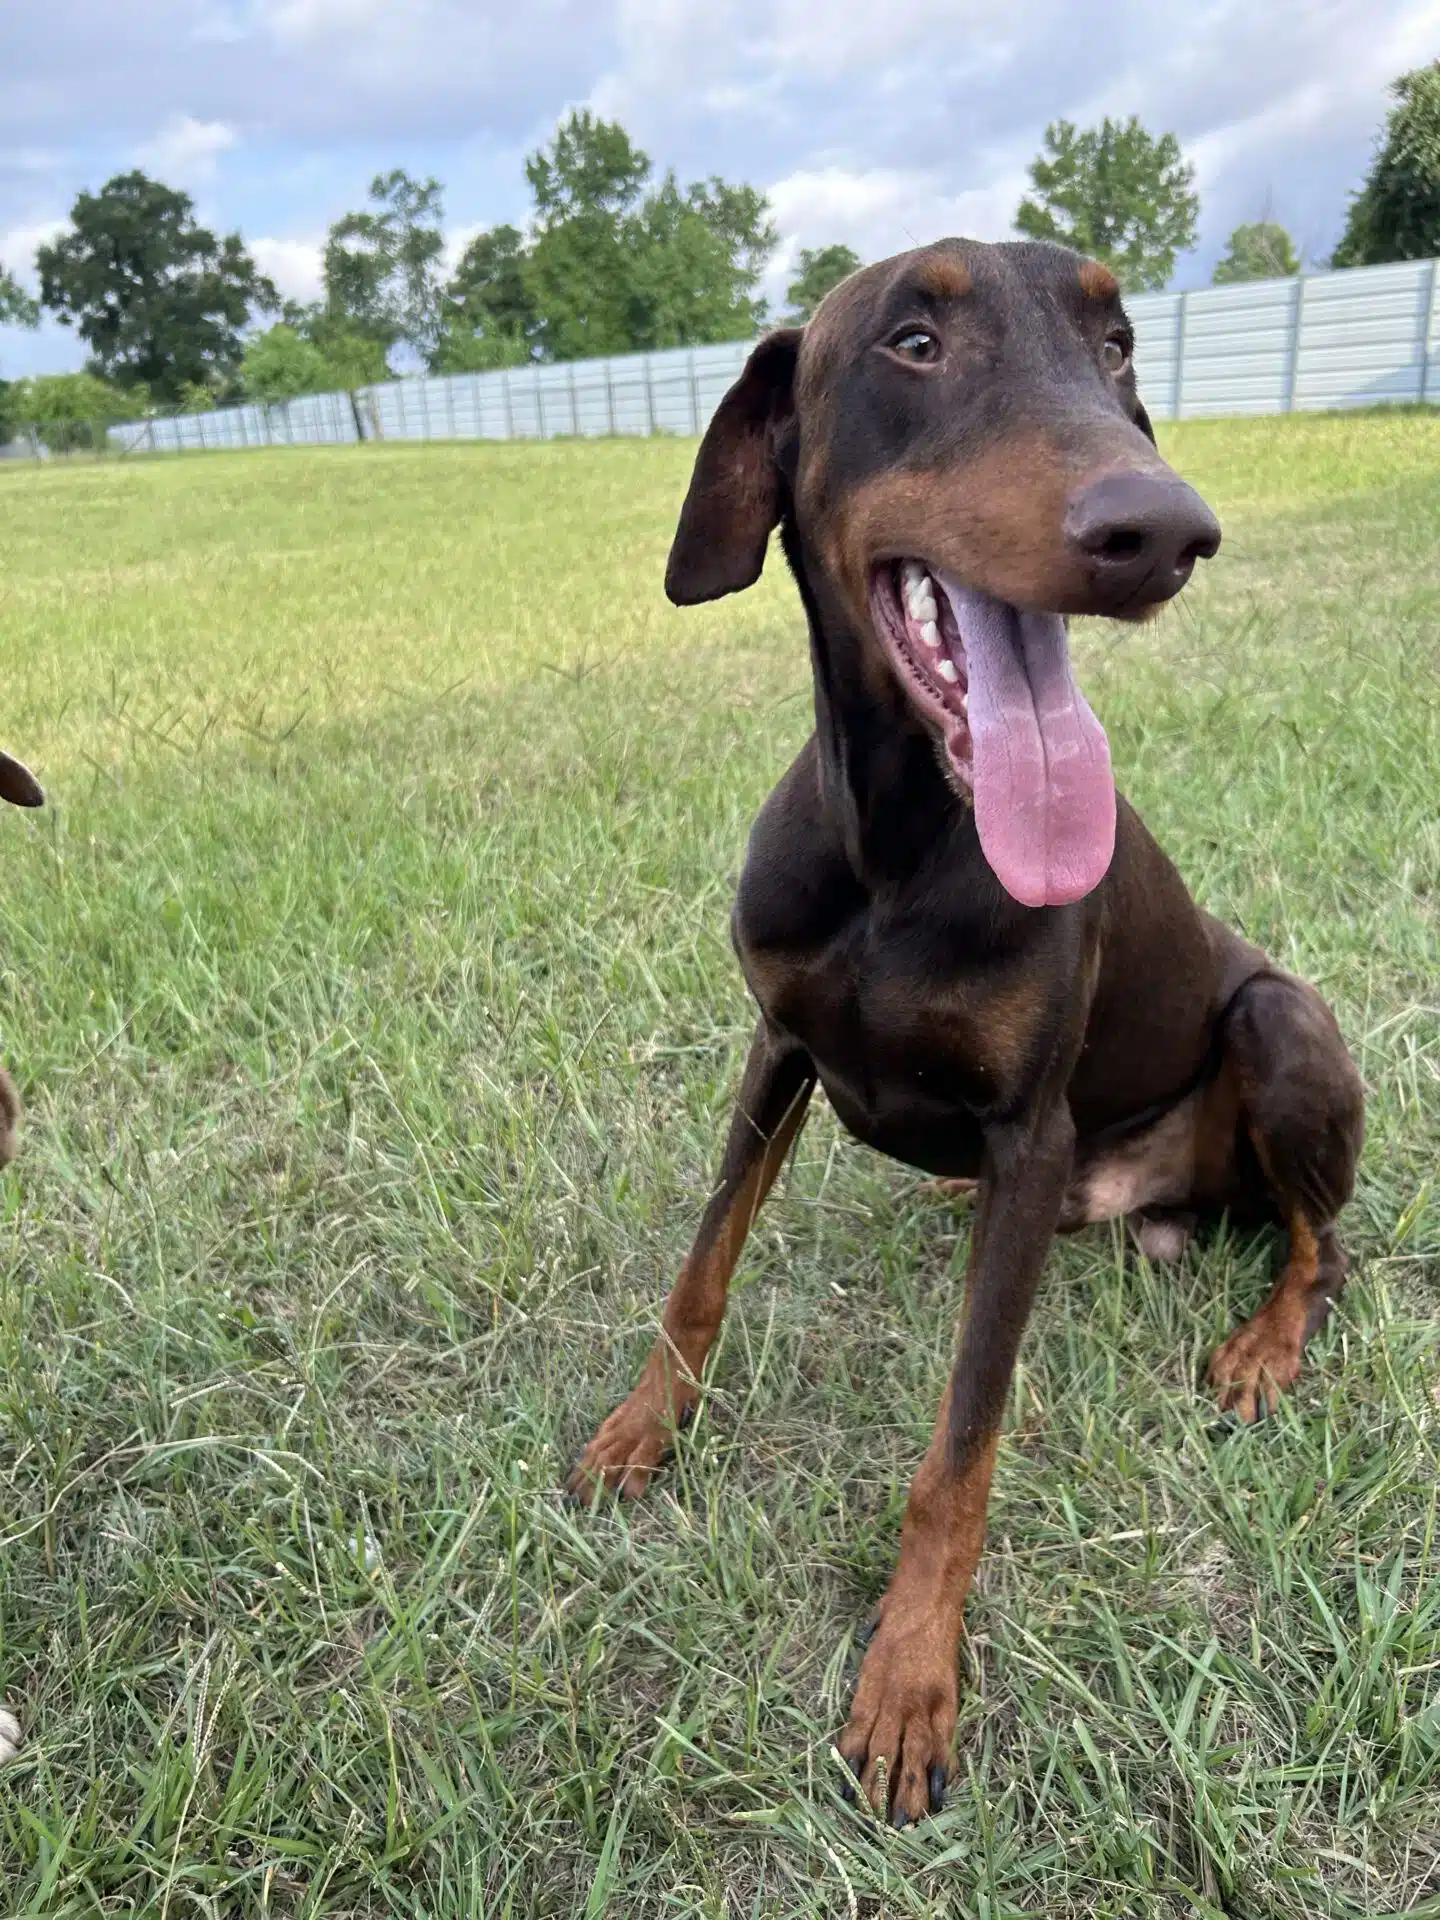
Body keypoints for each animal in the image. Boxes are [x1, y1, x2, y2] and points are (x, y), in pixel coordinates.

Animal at [566, 239, 1365, 1827]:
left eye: (1119, 345)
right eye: (914, 341)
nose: (1164, 528)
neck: (899, 842)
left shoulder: (1029, 1122)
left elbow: (960, 1449)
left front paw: (910, 1680)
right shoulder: (776, 1049)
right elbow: (701, 1266)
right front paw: (642, 1428)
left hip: (1275, 1021)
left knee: (1326, 1246)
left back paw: (1261, 1348)